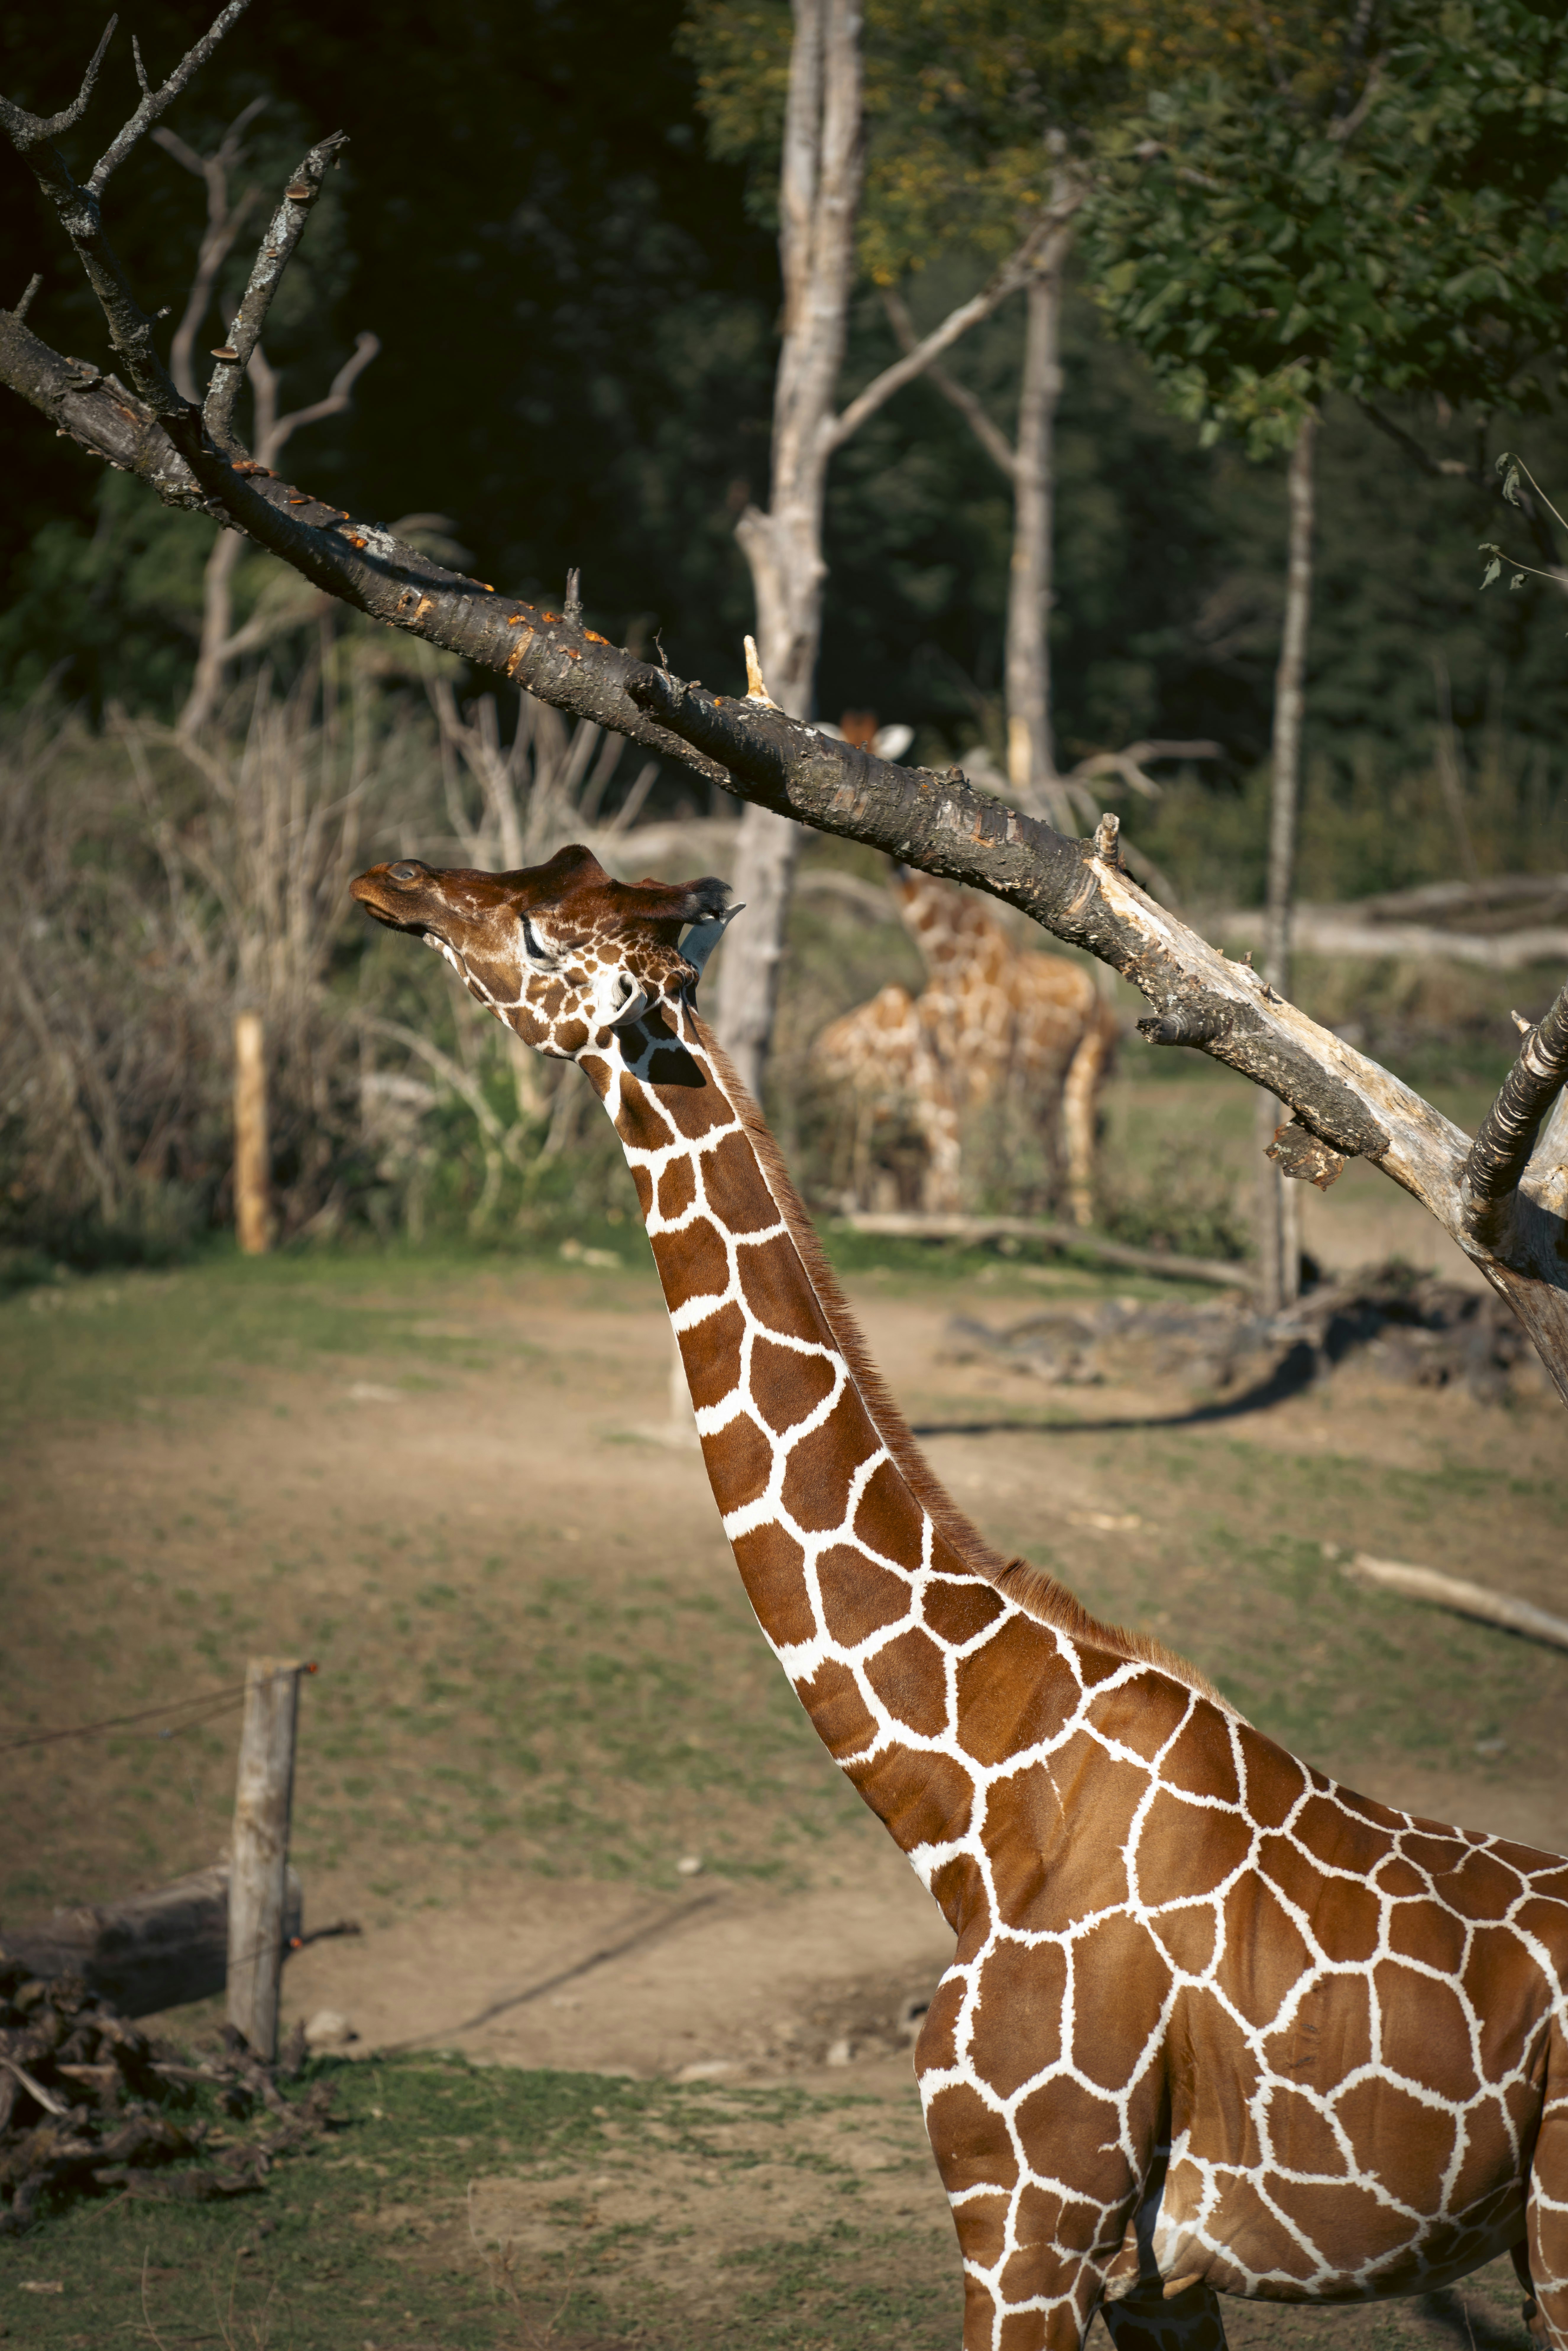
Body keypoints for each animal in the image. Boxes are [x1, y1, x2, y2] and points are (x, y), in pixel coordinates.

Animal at [817, 869, 1117, 1226]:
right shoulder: (948, 1066)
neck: (948, 957)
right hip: (1042, 1089)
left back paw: (1083, 1223)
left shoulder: (987, 1064)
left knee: (1081, 1148)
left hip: (1087, 1071)